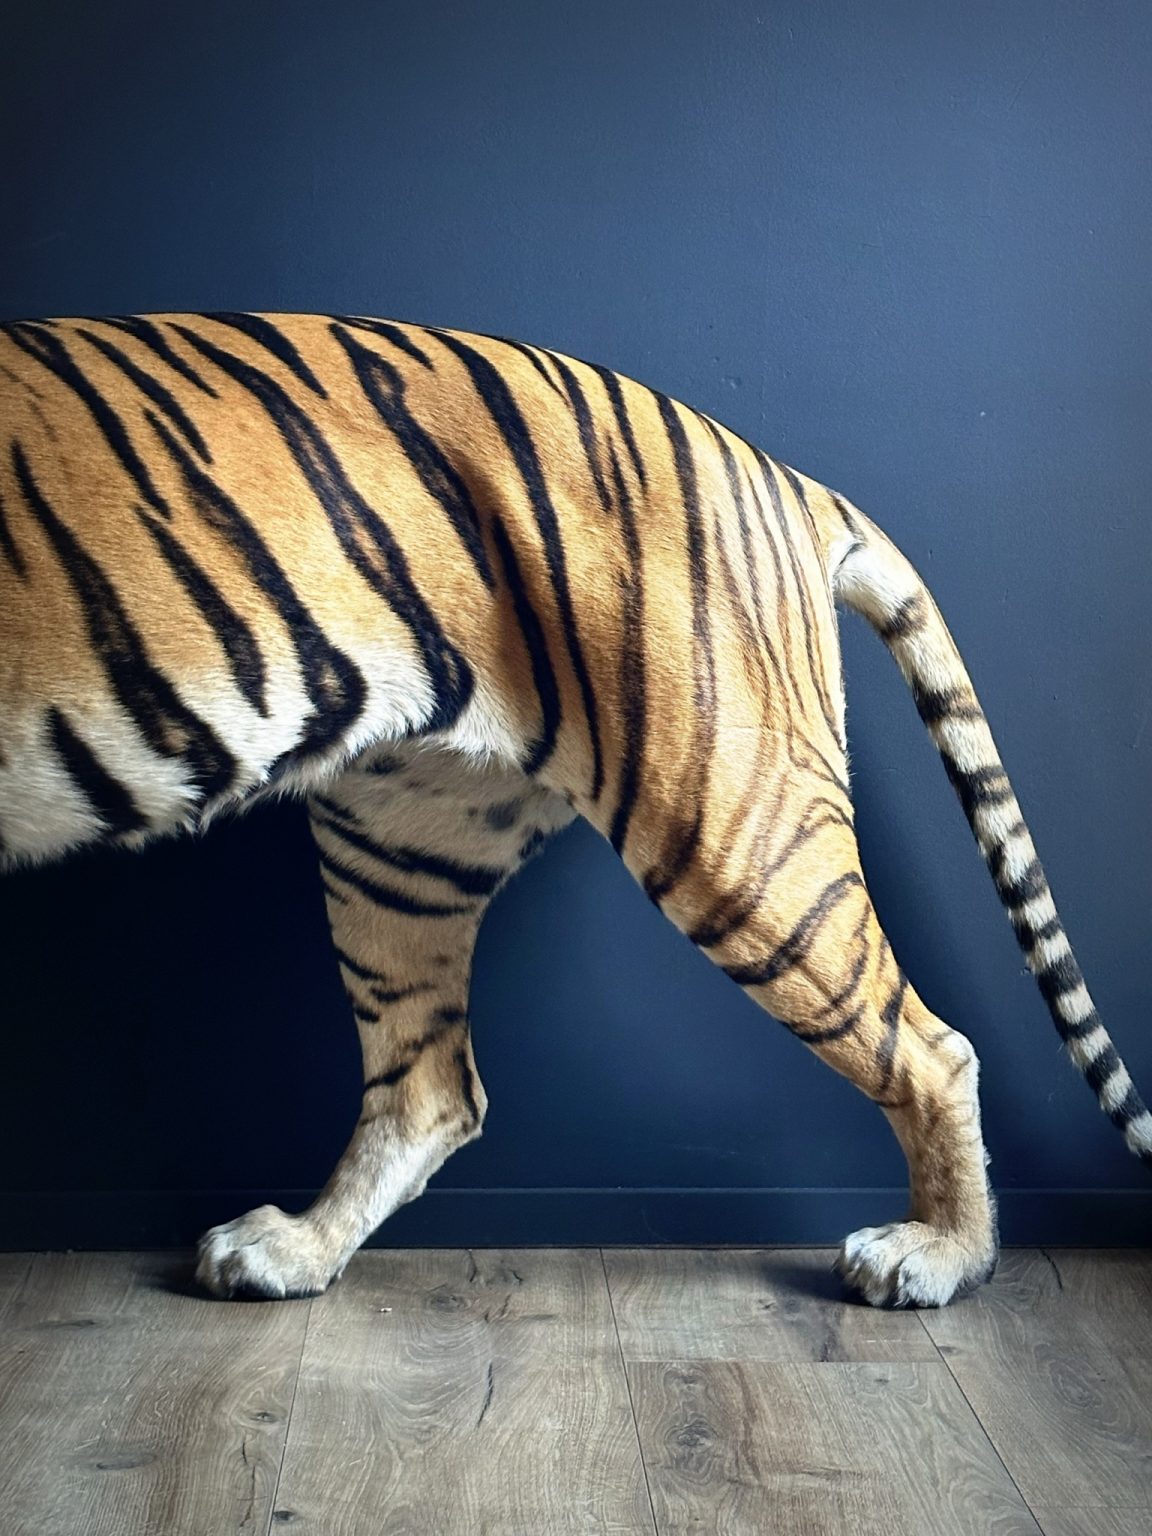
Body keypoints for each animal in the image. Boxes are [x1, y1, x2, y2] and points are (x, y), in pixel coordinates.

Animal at [1, 311, 1146, 1308]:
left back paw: (937, 1259)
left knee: (931, 1044)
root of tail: (789, 478)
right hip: (398, 842)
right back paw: (295, 1252)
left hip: (731, 831)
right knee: (432, 1087)